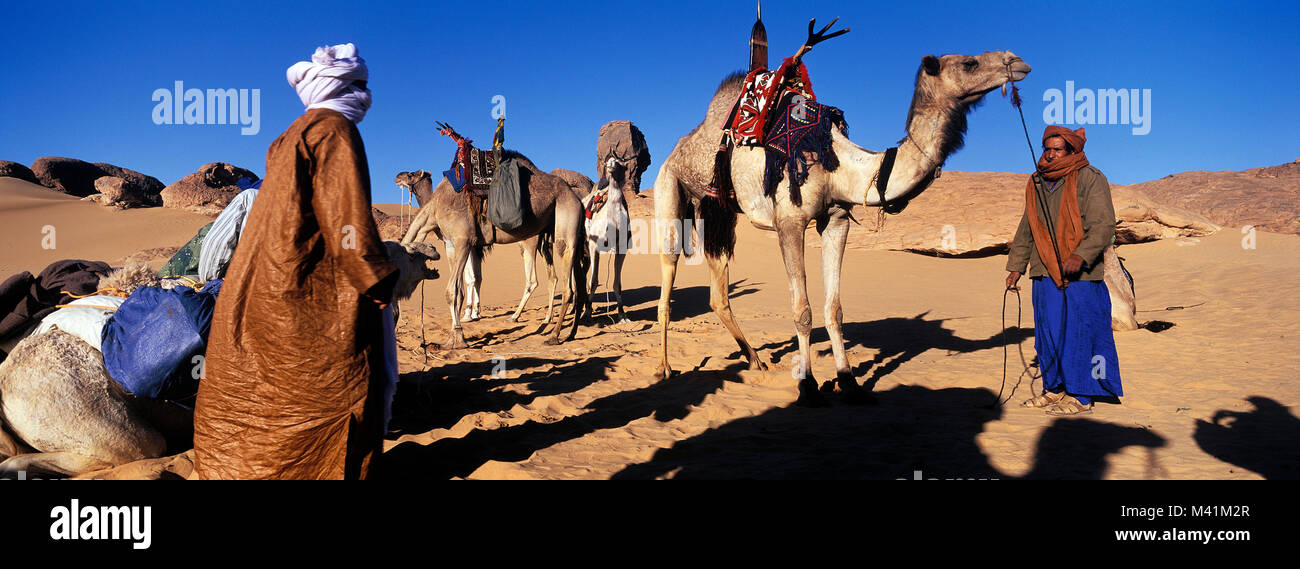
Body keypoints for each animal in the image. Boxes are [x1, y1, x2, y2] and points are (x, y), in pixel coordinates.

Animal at [399, 151, 588, 348]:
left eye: (411, 174)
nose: (398, 177)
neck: (436, 206)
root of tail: (577, 199)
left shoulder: (465, 241)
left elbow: (454, 290)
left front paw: (459, 337)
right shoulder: (450, 244)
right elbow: (459, 291)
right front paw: (454, 336)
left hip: (563, 224)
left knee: (564, 284)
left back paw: (553, 335)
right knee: (576, 283)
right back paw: (570, 332)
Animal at [583, 157, 632, 323]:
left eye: (622, 164)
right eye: (610, 159)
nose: (610, 162)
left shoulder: (621, 248)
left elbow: (617, 284)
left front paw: (622, 315)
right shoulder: (594, 246)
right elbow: (593, 281)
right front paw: (587, 313)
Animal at [651, 41, 1031, 405]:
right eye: (970, 63)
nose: (1019, 62)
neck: (840, 167)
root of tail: (681, 145)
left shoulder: (835, 220)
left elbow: (834, 310)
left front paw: (849, 383)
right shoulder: (789, 222)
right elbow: (803, 311)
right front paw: (807, 387)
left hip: (718, 211)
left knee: (718, 293)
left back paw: (756, 362)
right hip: (669, 187)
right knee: (668, 273)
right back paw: (665, 368)